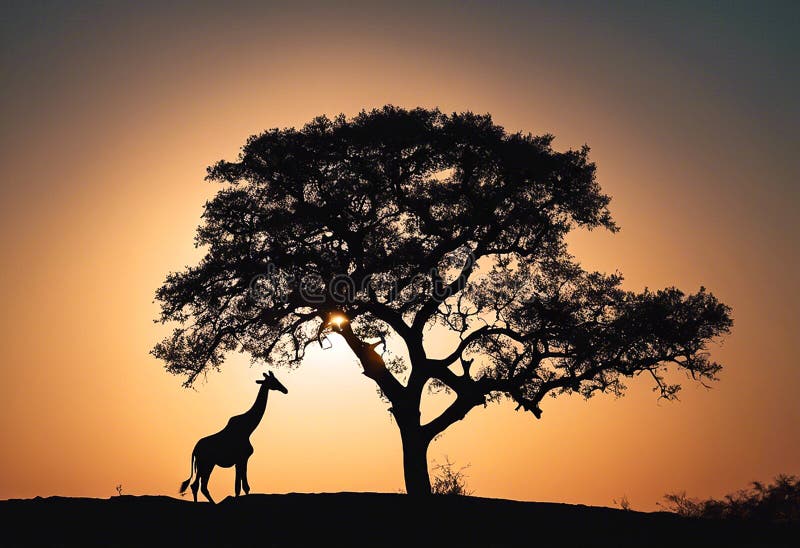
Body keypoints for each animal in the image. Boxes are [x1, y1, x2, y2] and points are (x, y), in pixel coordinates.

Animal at [179, 370, 288, 503]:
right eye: (274, 381)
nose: (285, 390)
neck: (248, 429)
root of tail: (194, 450)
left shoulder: (239, 461)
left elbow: (239, 487)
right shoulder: (243, 458)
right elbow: (244, 487)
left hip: (206, 464)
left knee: (198, 485)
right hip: (205, 463)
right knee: (197, 485)